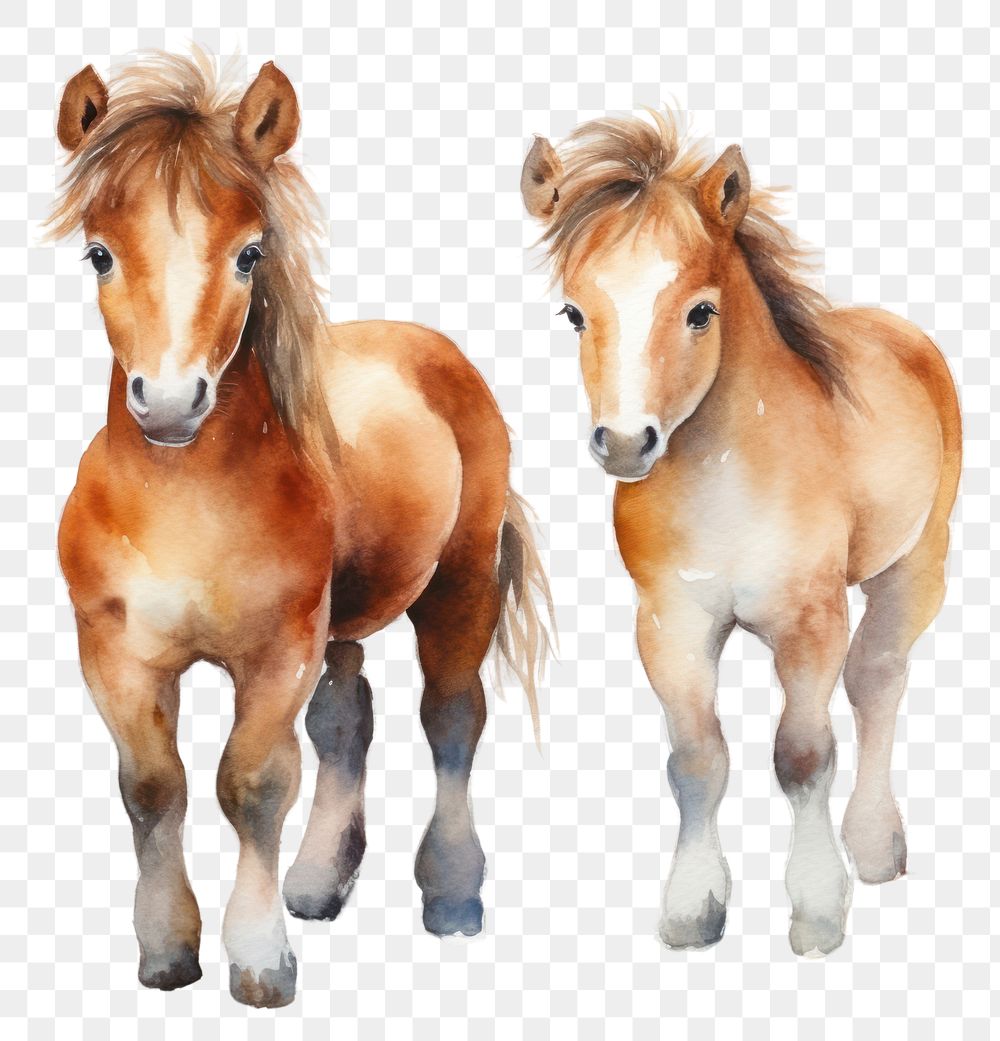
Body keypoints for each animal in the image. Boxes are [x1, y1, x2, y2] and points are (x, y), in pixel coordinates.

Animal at [49, 52, 551, 1008]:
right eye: (98, 254)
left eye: (250, 253)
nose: (172, 404)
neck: (184, 503)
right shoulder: (114, 653)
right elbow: (153, 787)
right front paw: (167, 949)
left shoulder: (278, 648)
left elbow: (253, 783)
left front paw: (258, 959)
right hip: (344, 618)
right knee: (346, 719)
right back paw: (319, 883)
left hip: (457, 585)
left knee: (451, 719)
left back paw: (452, 893)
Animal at [521, 112, 960, 956]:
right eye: (574, 313)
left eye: (701, 310)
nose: (625, 442)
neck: (728, 484)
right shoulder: (672, 624)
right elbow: (697, 759)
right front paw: (694, 906)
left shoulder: (810, 623)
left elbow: (804, 754)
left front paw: (818, 908)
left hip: (913, 568)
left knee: (878, 680)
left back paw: (874, 845)